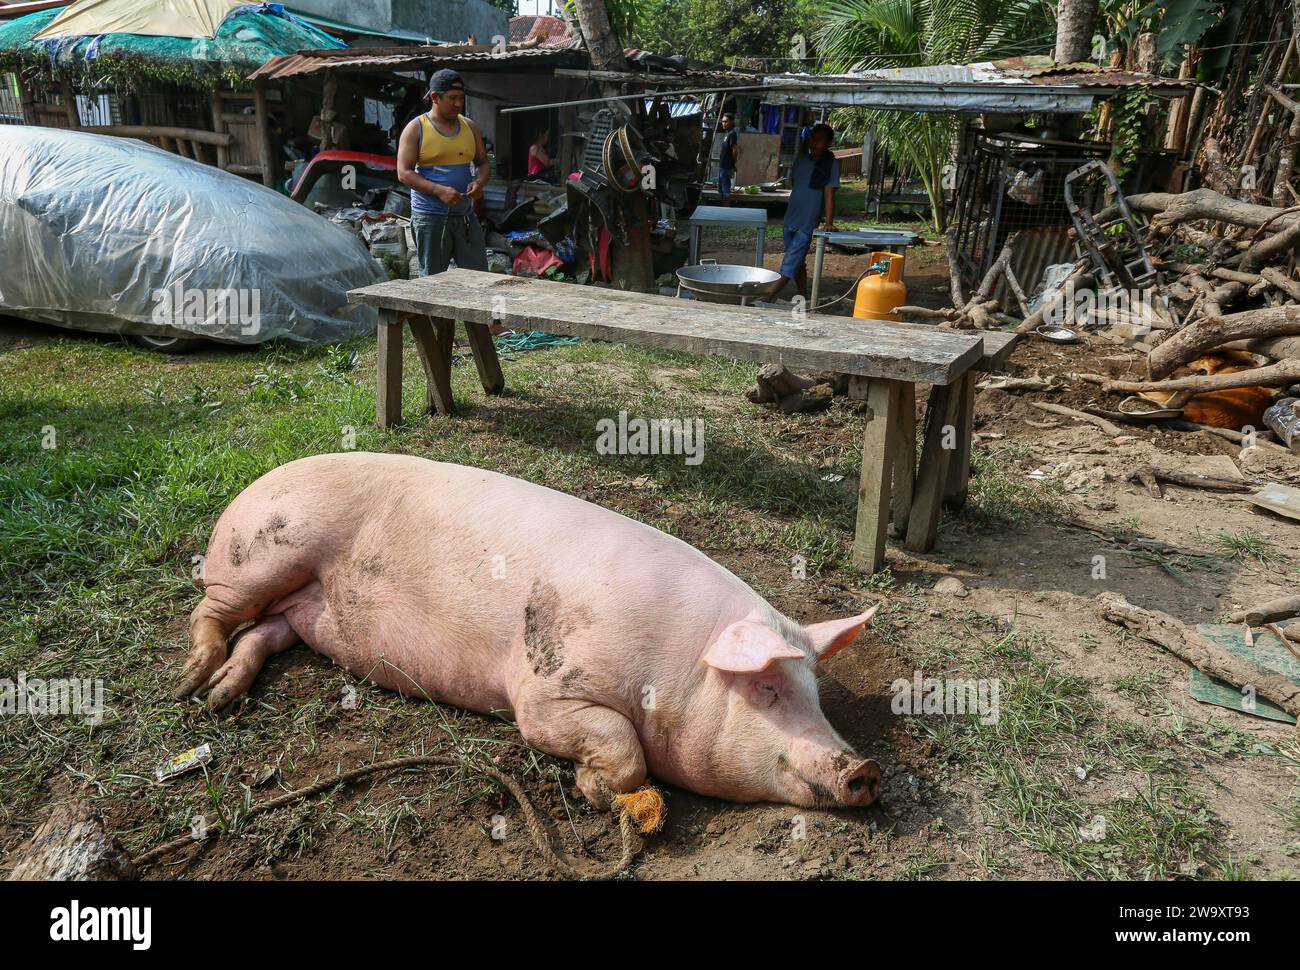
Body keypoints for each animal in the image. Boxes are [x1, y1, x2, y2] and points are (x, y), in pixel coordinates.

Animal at [178, 453, 881, 809]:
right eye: (766, 690)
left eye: (815, 695)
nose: (864, 767)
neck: (676, 671)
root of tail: (258, 480)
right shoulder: (545, 690)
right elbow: (619, 747)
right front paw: (593, 791)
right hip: (264, 555)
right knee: (210, 612)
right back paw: (191, 686)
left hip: (302, 609)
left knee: (264, 634)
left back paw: (221, 698)